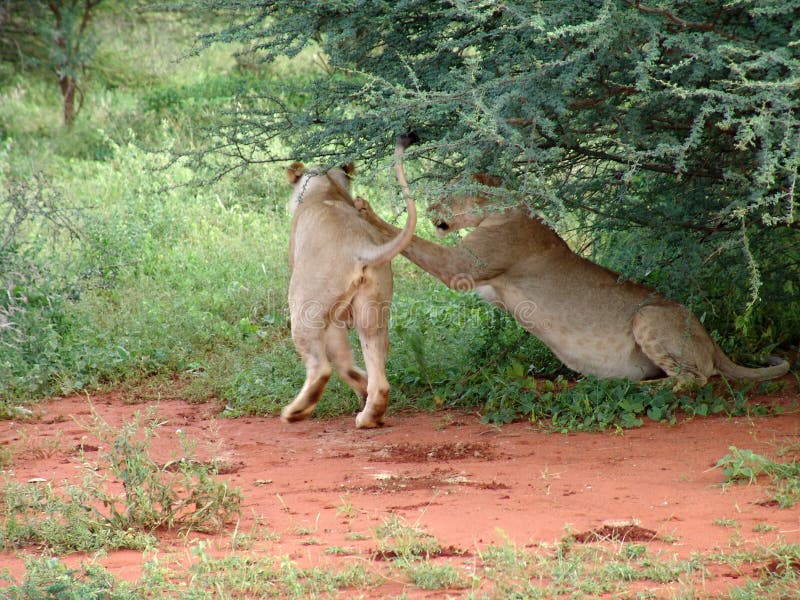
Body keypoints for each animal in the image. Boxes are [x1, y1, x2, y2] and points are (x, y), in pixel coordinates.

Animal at [282, 141, 416, 428]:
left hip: (306, 304)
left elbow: (341, 360)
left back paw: (296, 412)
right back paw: (369, 415)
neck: (326, 190)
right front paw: (362, 389)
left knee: (322, 368)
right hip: (374, 310)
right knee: (379, 373)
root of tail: (358, 245)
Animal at [355, 144, 789, 388]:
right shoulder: (483, 283)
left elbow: (411, 240)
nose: (431, 210)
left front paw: (365, 209)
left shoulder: (461, 266)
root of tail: (710, 339)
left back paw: (637, 389)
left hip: (648, 317)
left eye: (448, 194)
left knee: (695, 380)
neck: (503, 208)